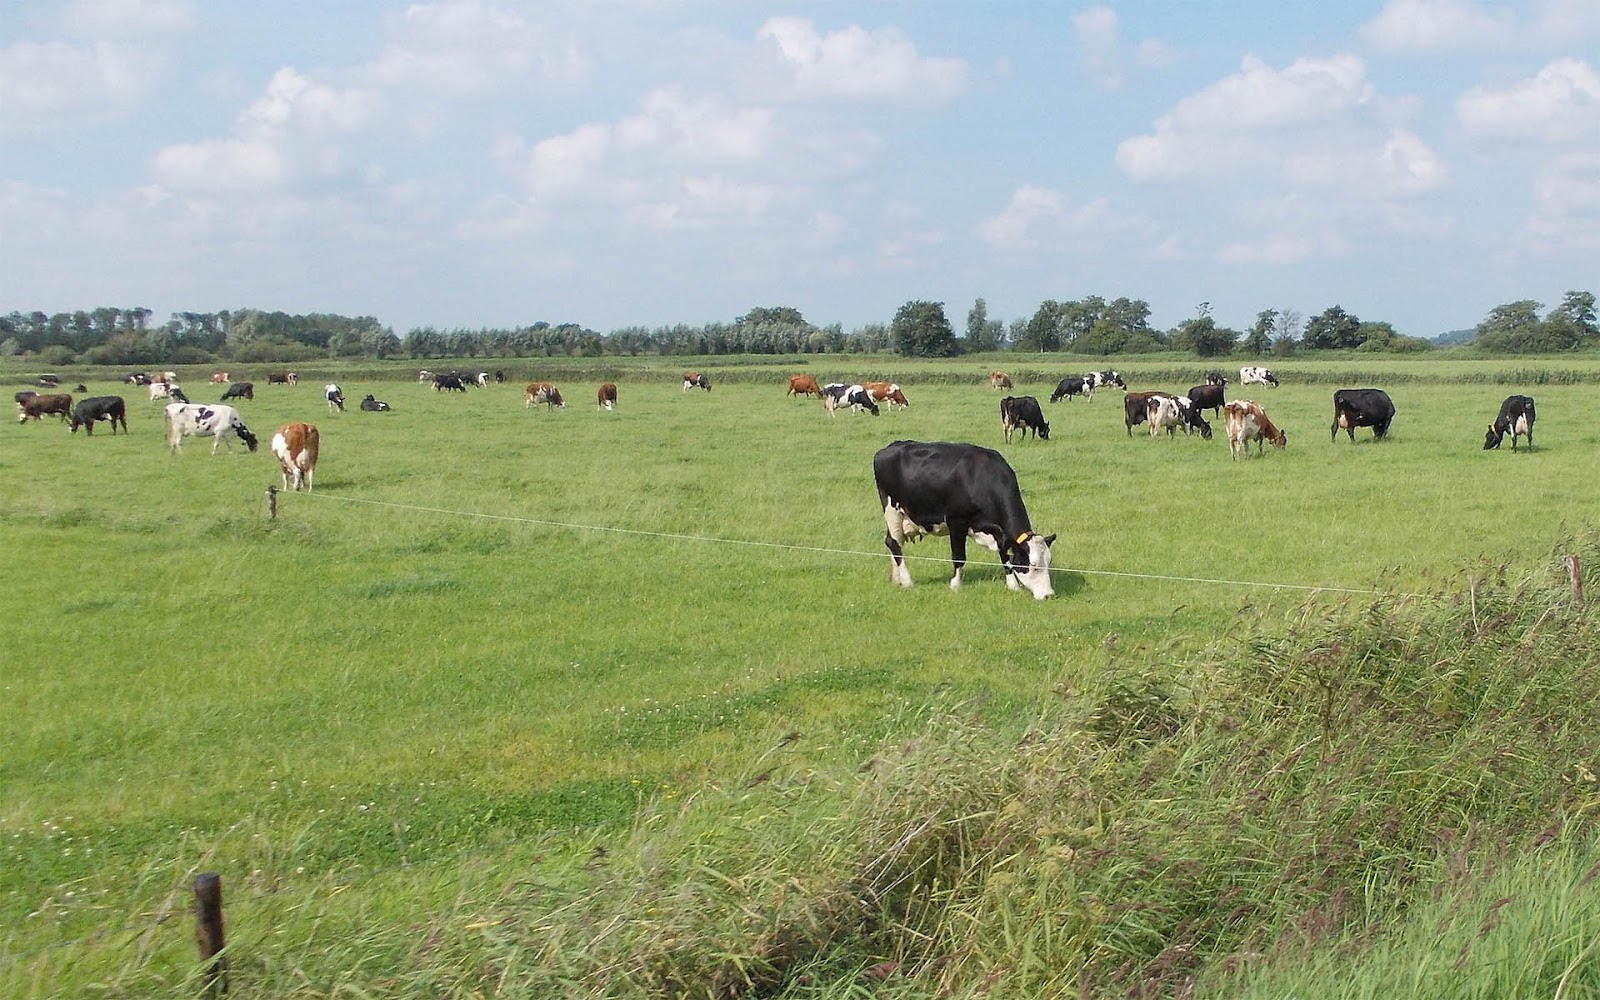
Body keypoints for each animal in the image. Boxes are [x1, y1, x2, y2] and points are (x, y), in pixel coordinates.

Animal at [873, 440, 1057, 599]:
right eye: (1032, 565)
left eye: (1049, 561)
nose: (1049, 595)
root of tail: (891, 446)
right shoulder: (956, 522)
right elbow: (959, 556)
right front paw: (955, 586)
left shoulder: (999, 531)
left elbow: (1004, 555)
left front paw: (1013, 585)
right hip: (892, 510)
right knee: (895, 544)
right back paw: (907, 581)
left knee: (892, 541)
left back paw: (896, 579)